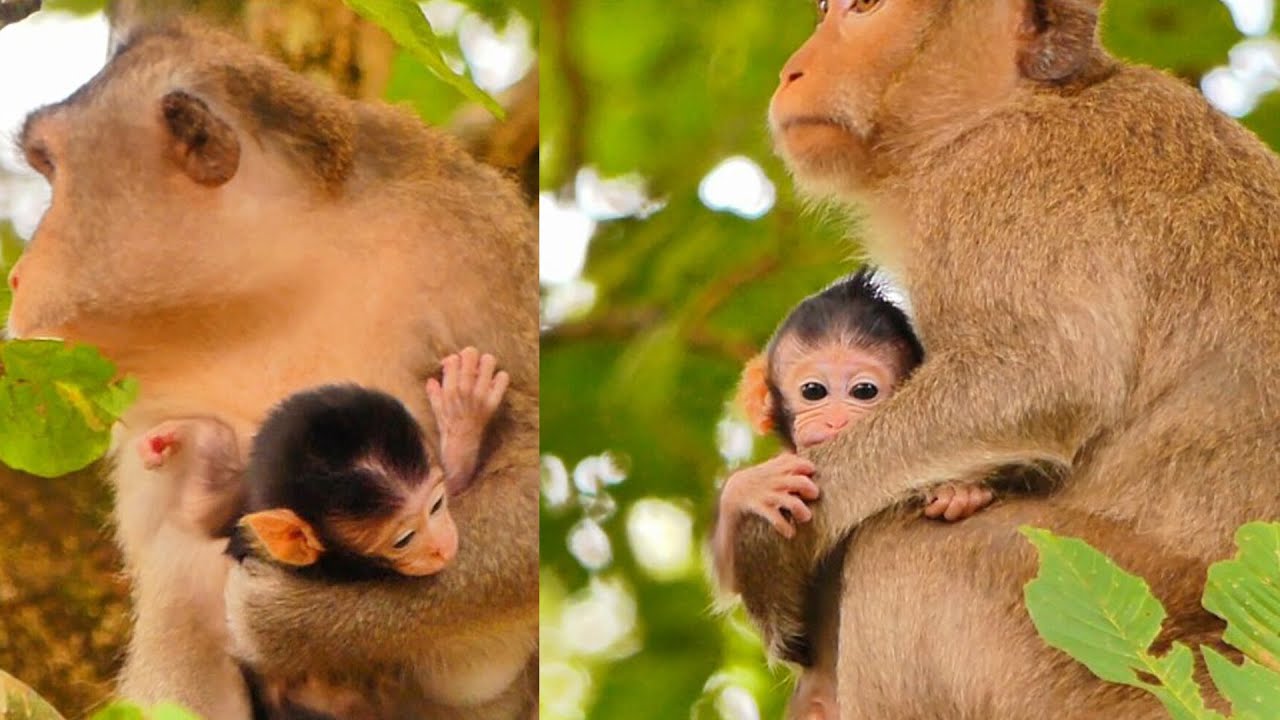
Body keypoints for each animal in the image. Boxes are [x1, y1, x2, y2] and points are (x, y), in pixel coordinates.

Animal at [7, 19, 538, 719]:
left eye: (53, 170)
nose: (18, 274)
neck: (269, 288)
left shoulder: (471, 234)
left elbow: (527, 464)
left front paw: (288, 616)